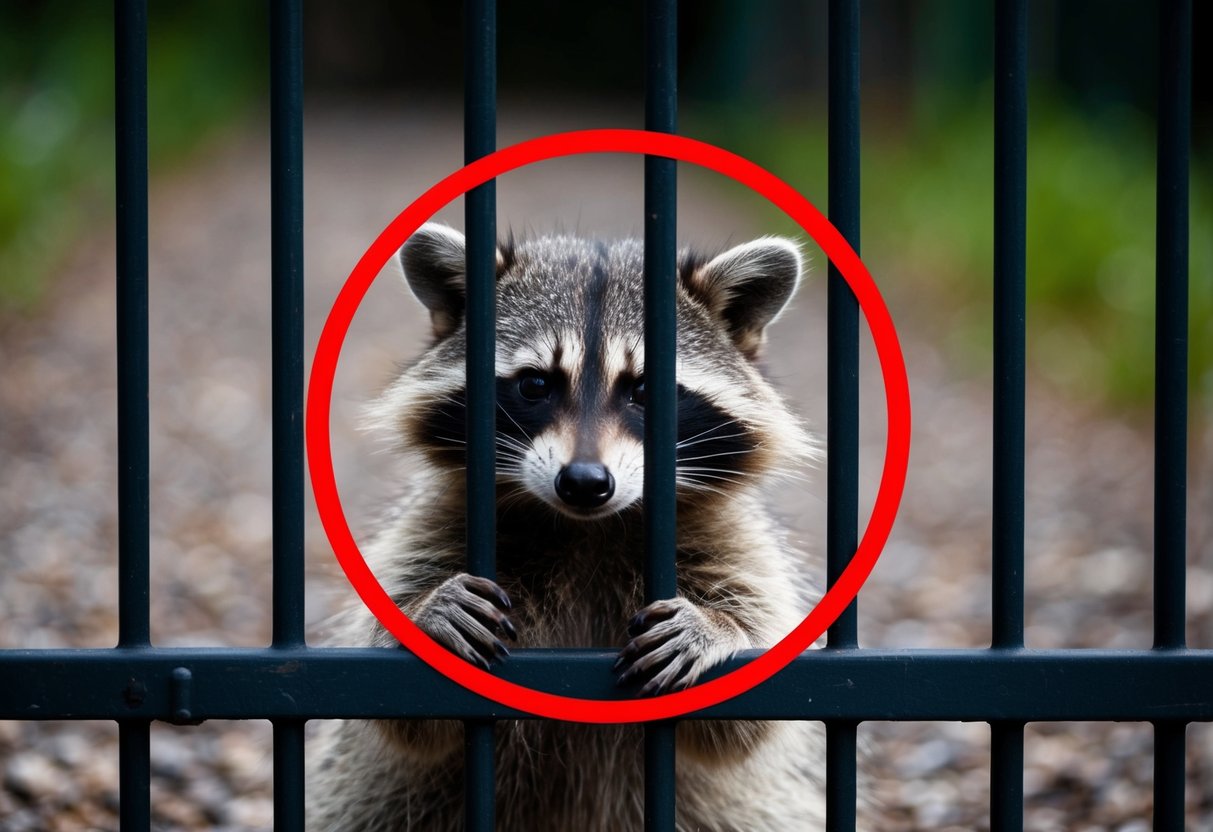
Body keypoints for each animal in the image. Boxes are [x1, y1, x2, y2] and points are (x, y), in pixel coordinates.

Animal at [306, 223, 827, 831]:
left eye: (644, 390)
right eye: (535, 384)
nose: (583, 482)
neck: (587, 530)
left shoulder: (730, 540)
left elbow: (752, 718)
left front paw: (719, 627)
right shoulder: (435, 525)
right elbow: (398, 710)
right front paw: (424, 612)